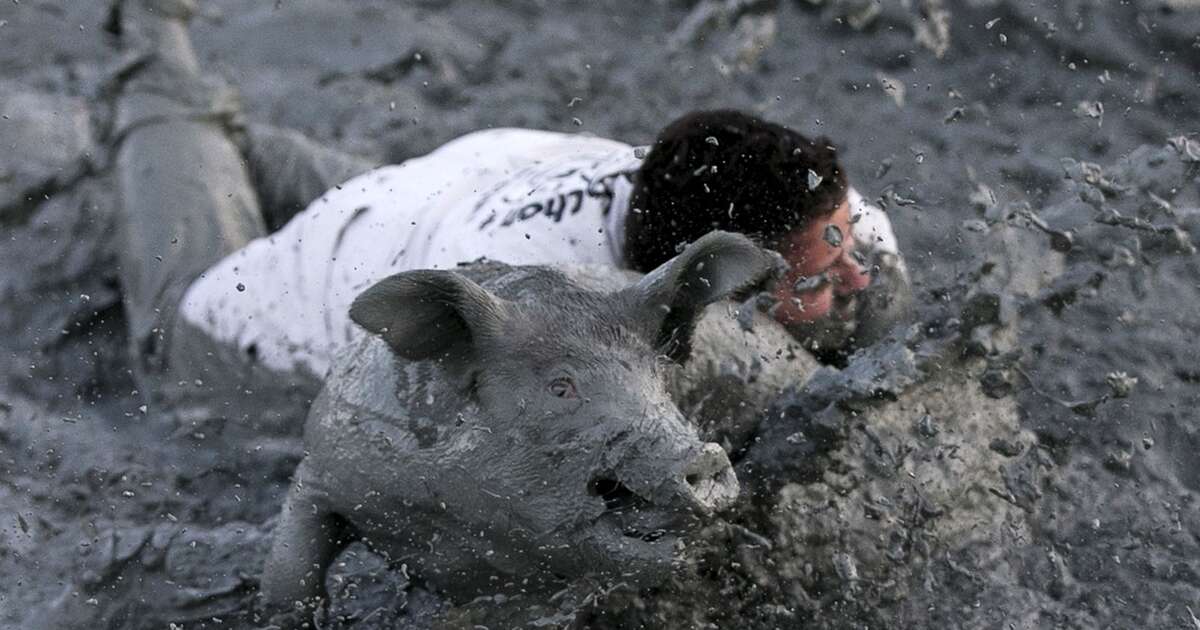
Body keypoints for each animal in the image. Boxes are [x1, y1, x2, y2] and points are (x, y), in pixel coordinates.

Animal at [260, 231, 787, 613]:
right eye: (561, 385)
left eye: (658, 376)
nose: (703, 455)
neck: (454, 514)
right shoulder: (325, 461)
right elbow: (289, 577)